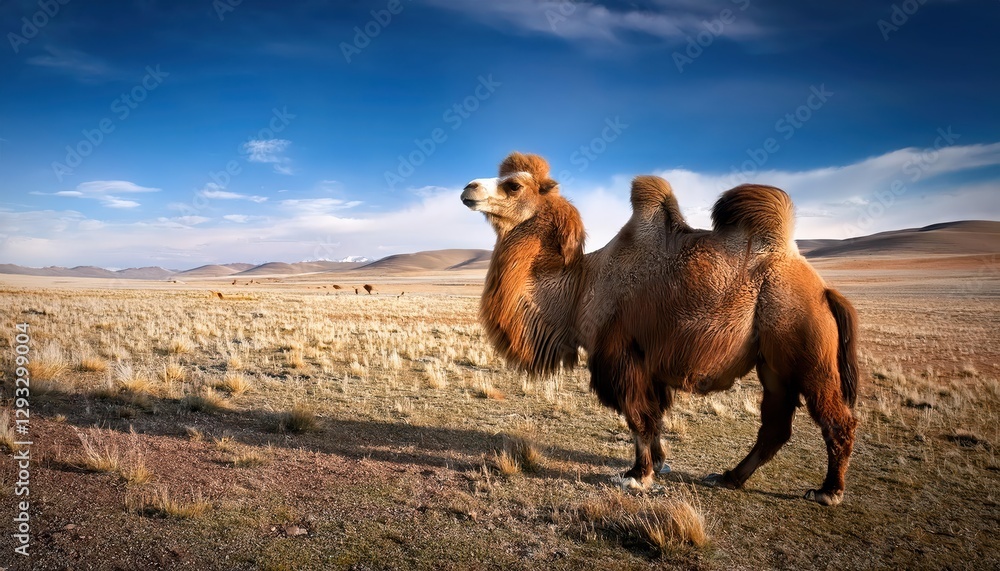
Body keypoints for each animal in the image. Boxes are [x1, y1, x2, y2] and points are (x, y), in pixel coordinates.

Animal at [461, 152, 859, 506]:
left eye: (513, 185)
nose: (468, 188)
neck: (579, 286)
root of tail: (823, 289)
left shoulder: (620, 354)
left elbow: (637, 417)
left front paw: (638, 476)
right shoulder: (648, 363)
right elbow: (653, 417)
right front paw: (660, 464)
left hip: (804, 345)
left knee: (836, 419)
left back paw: (827, 492)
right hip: (773, 364)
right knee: (776, 425)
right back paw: (729, 478)